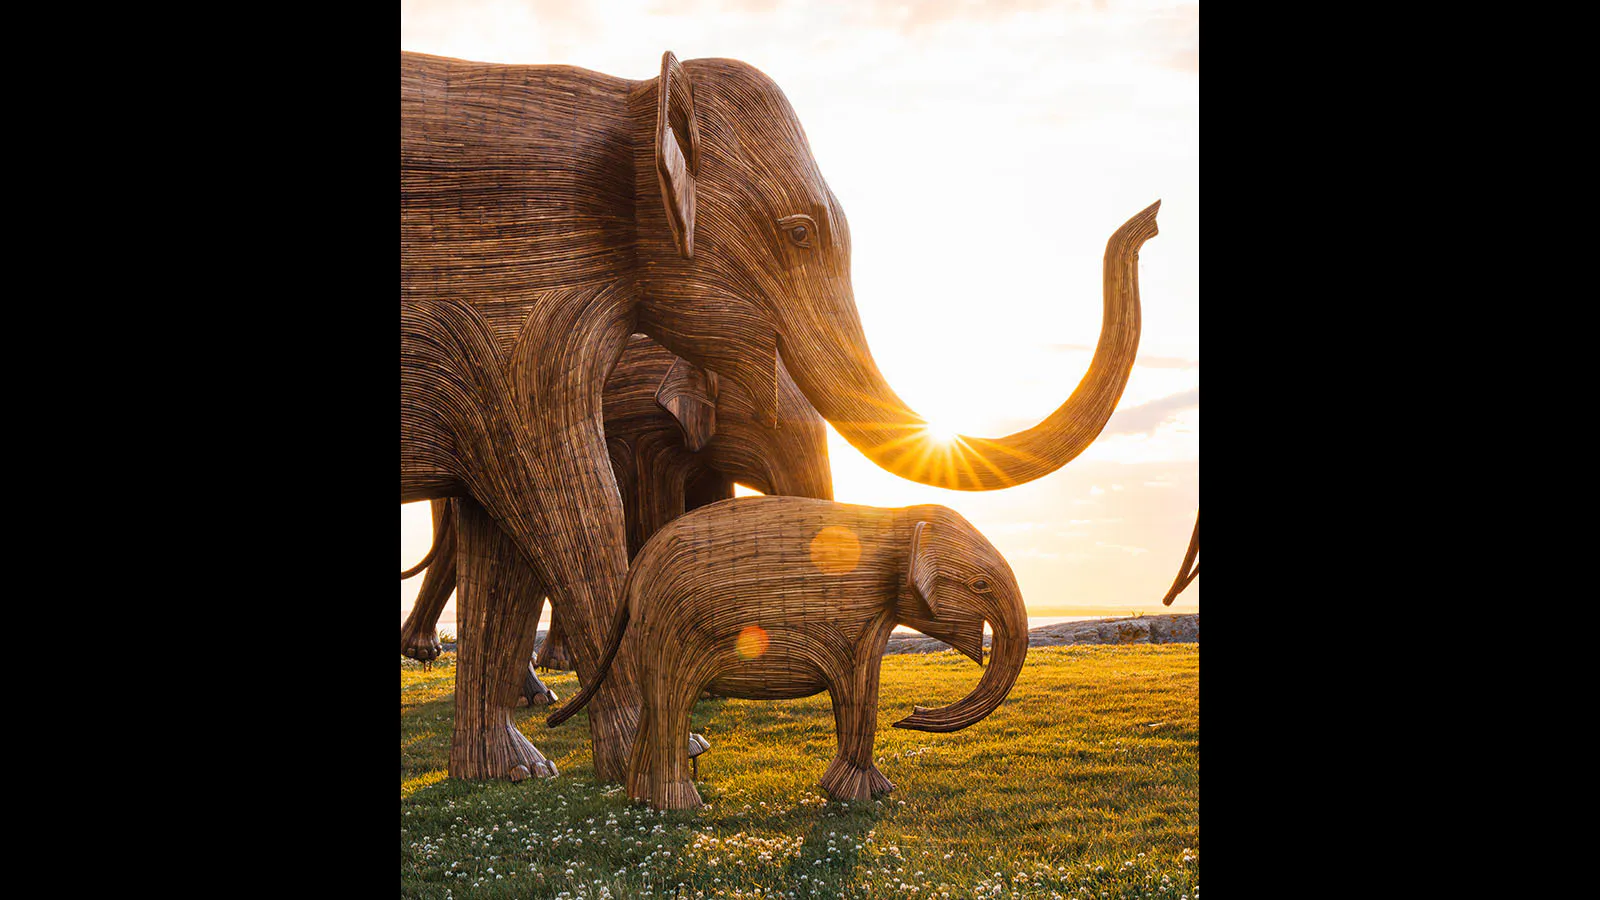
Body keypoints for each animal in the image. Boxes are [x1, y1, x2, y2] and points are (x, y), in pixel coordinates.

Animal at [547, 496, 1028, 810]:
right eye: (980, 585)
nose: (913, 714)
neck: (896, 520)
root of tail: (637, 566)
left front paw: (869, 792)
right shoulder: (855, 617)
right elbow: (857, 691)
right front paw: (853, 795)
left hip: (655, 633)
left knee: (655, 706)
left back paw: (645, 801)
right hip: (672, 629)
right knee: (672, 703)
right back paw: (684, 807)